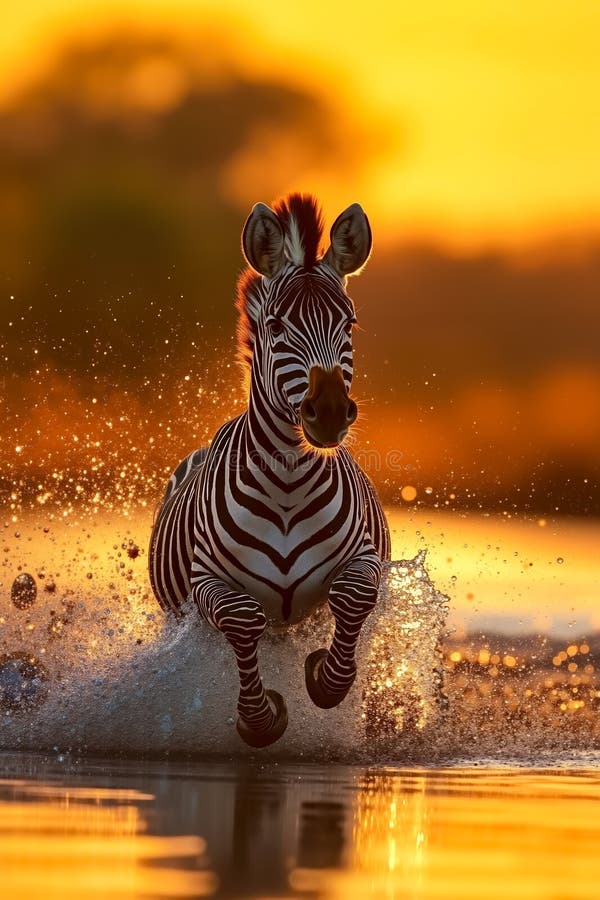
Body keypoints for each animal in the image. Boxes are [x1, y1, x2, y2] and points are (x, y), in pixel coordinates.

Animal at [149, 194, 391, 747]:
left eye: (349, 324)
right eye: (277, 326)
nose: (328, 413)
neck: (287, 483)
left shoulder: (363, 558)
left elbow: (352, 595)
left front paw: (325, 679)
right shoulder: (209, 581)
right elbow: (242, 619)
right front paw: (260, 720)